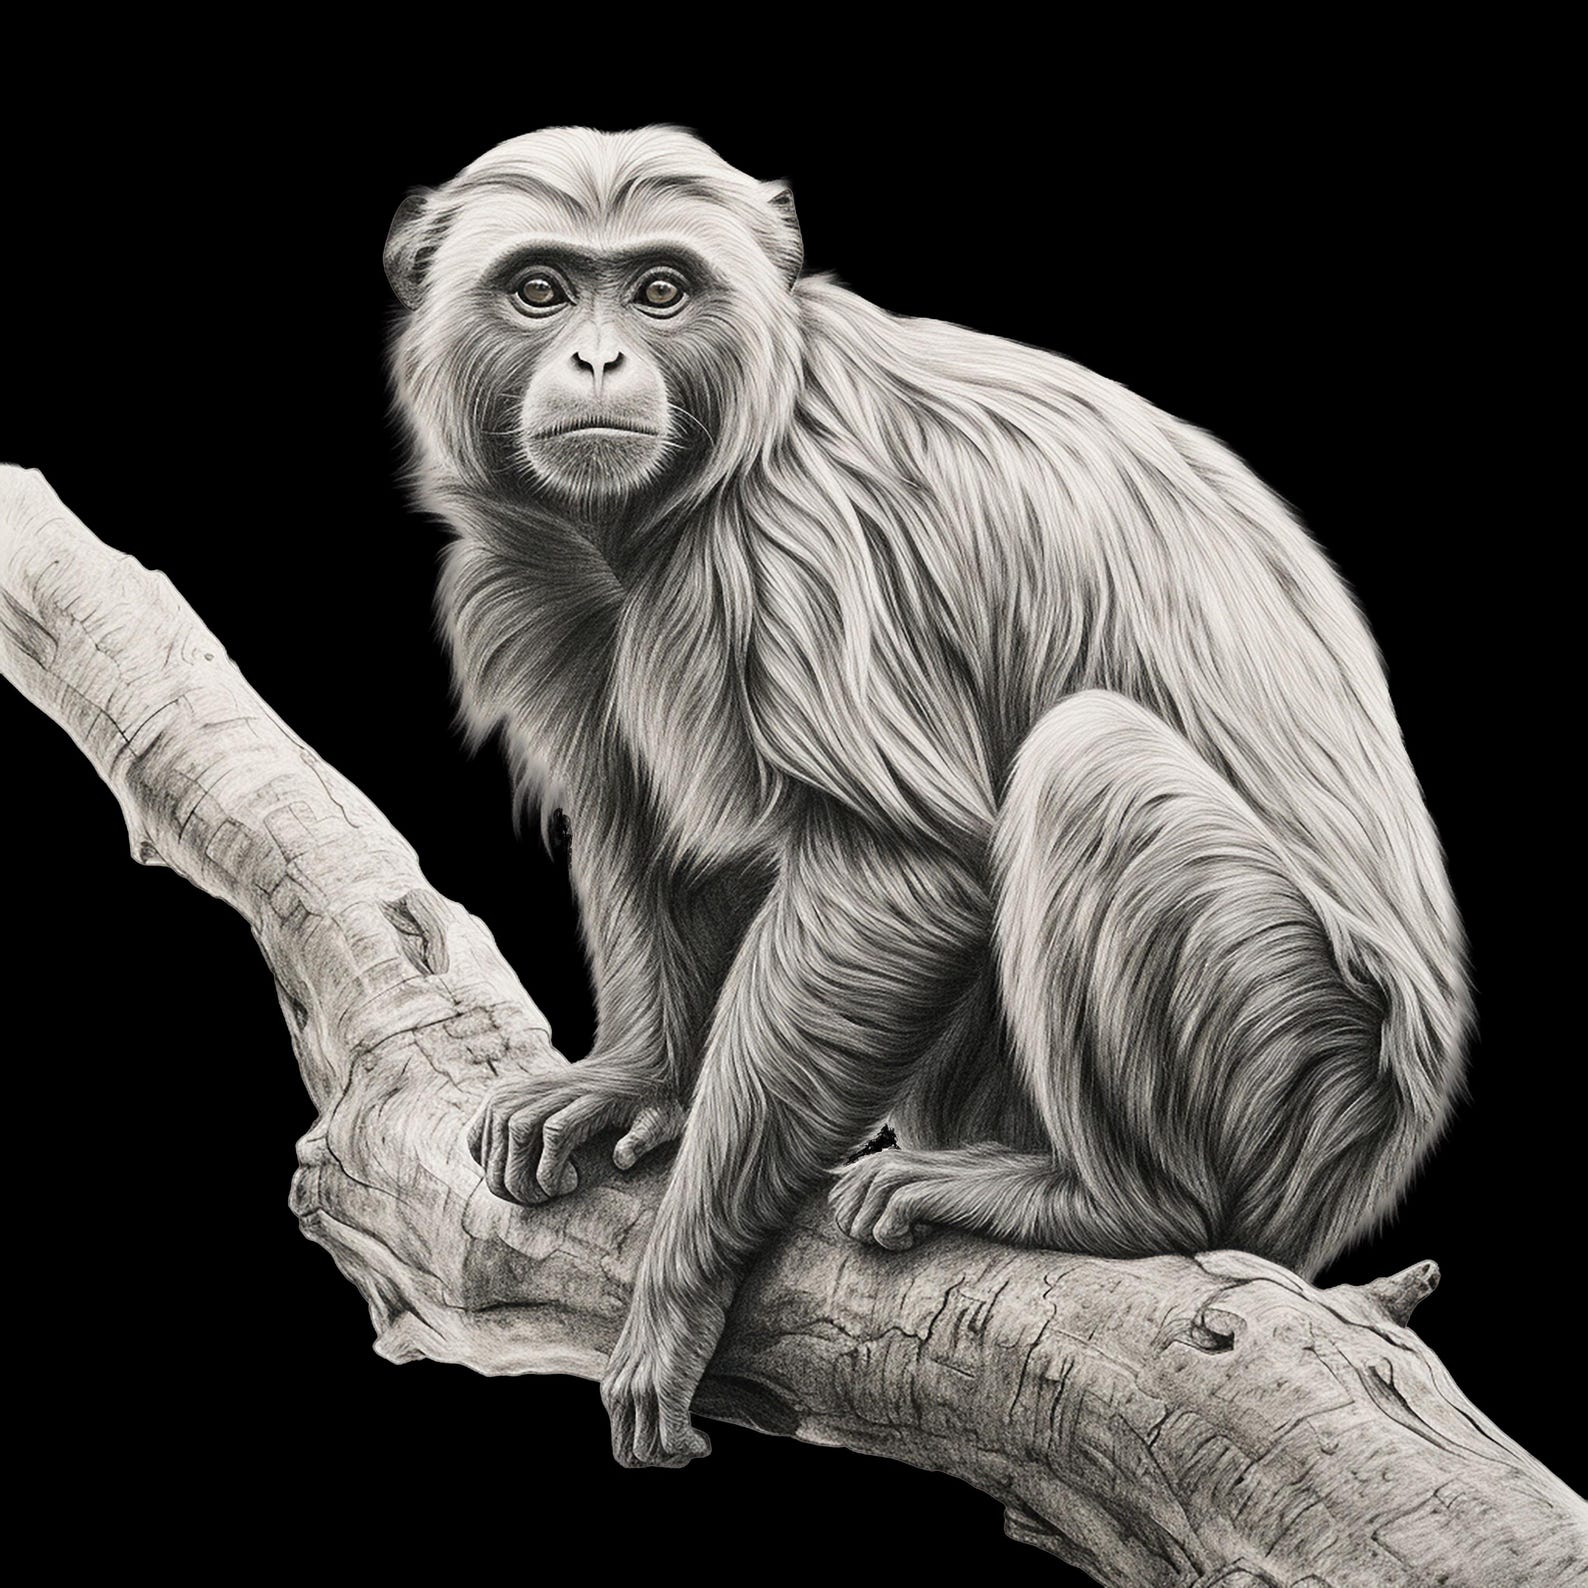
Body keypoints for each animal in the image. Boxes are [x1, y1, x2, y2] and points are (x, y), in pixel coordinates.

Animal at [383, 126, 1469, 1469]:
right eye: (541, 291)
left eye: (658, 291)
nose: (596, 358)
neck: (654, 516)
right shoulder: (533, 579)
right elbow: (640, 820)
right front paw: (633, 1079)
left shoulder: (798, 544)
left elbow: (898, 873)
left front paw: (681, 1282)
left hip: (1307, 1083)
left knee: (1089, 765)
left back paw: (1116, 1203)